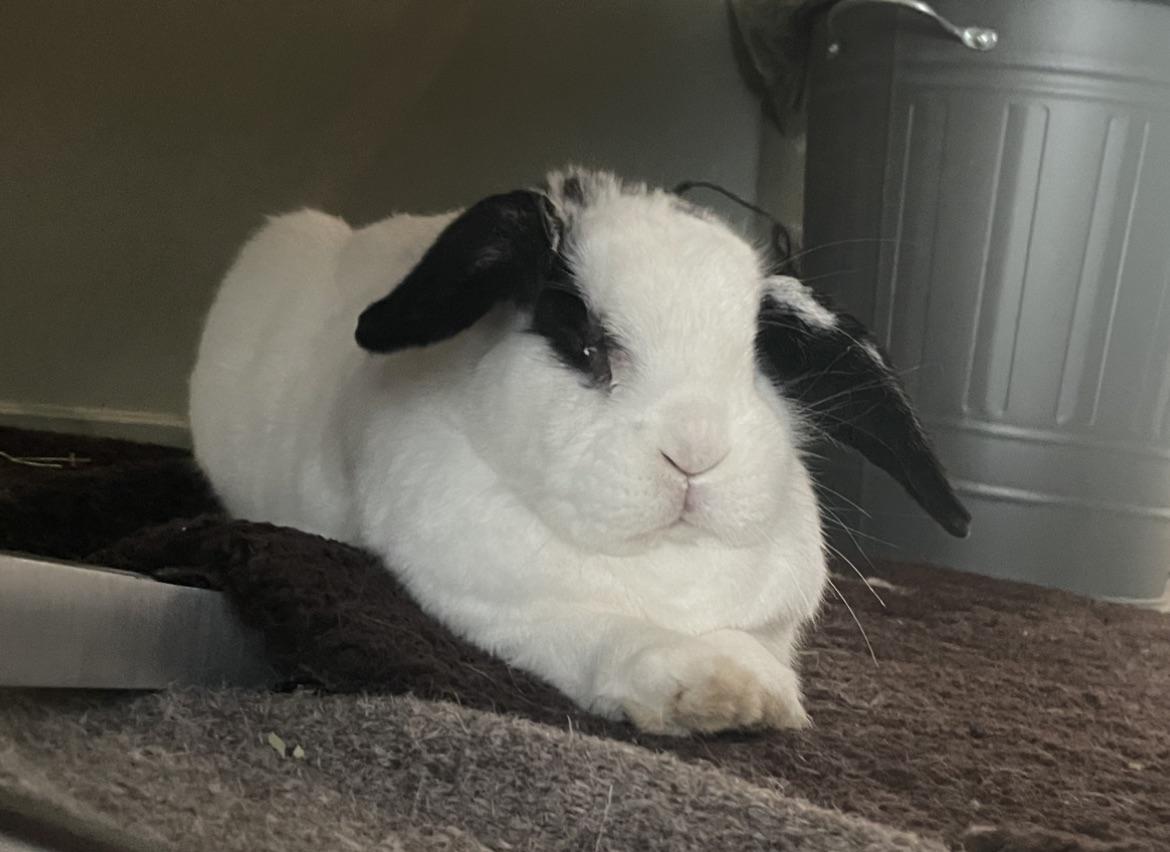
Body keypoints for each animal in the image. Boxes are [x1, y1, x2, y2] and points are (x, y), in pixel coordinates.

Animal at [190, 168, 969, 735]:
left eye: (759, 358)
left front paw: (757, 694)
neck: (664, 565)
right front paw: (715, 690)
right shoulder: (497, 606)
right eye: (584, 341)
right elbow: (604, 636)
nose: (695, 452)